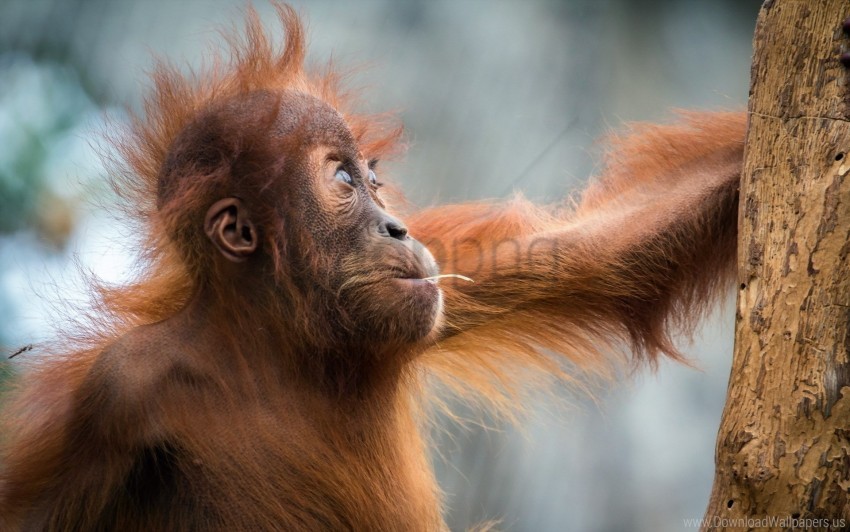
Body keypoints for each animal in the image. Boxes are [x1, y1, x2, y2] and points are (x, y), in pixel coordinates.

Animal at [0, 3, 746, 530]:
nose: (398, 227)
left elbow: (611, 239)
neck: (284, 346)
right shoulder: (115, 395)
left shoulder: (442, 287)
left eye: (374, 179)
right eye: (343, 181)